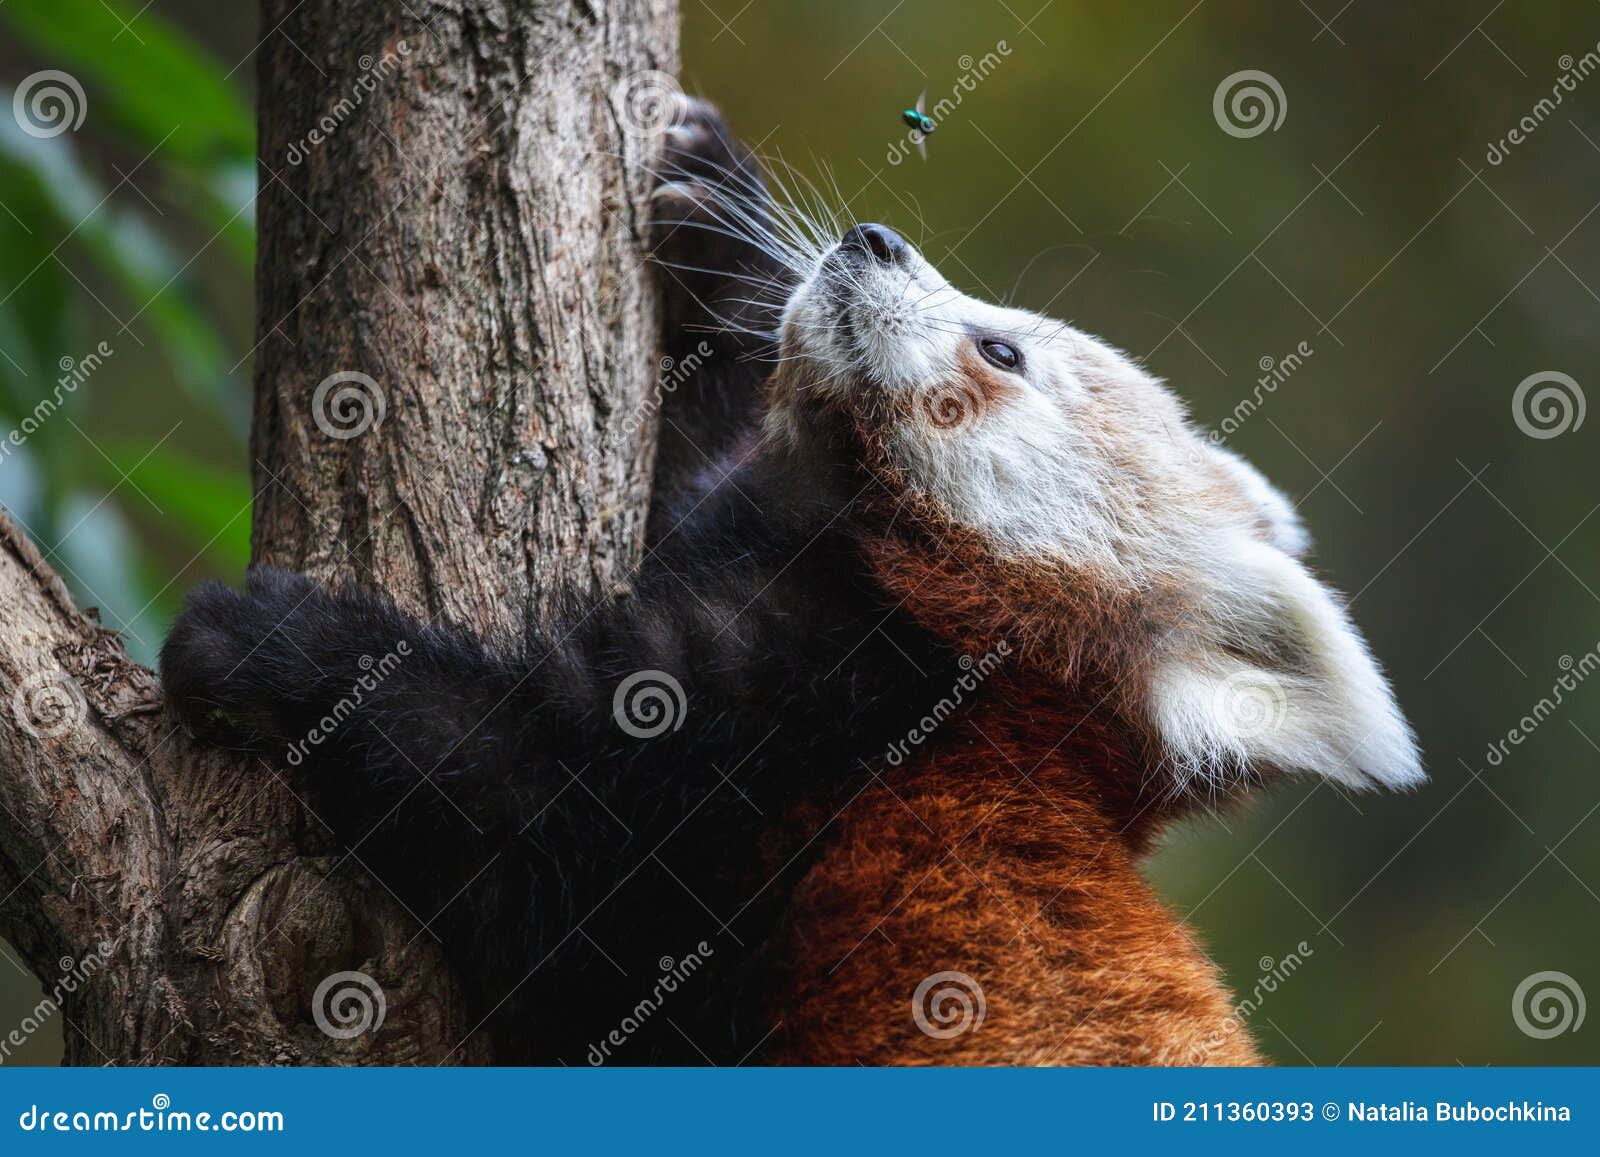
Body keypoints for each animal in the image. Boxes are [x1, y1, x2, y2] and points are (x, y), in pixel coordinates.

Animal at [160, 98, 1420, 1065]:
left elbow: (542, 832)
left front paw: (277, 647)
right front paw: (720, 215)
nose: (877, 240)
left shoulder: (797, 771)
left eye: (1000, 350)